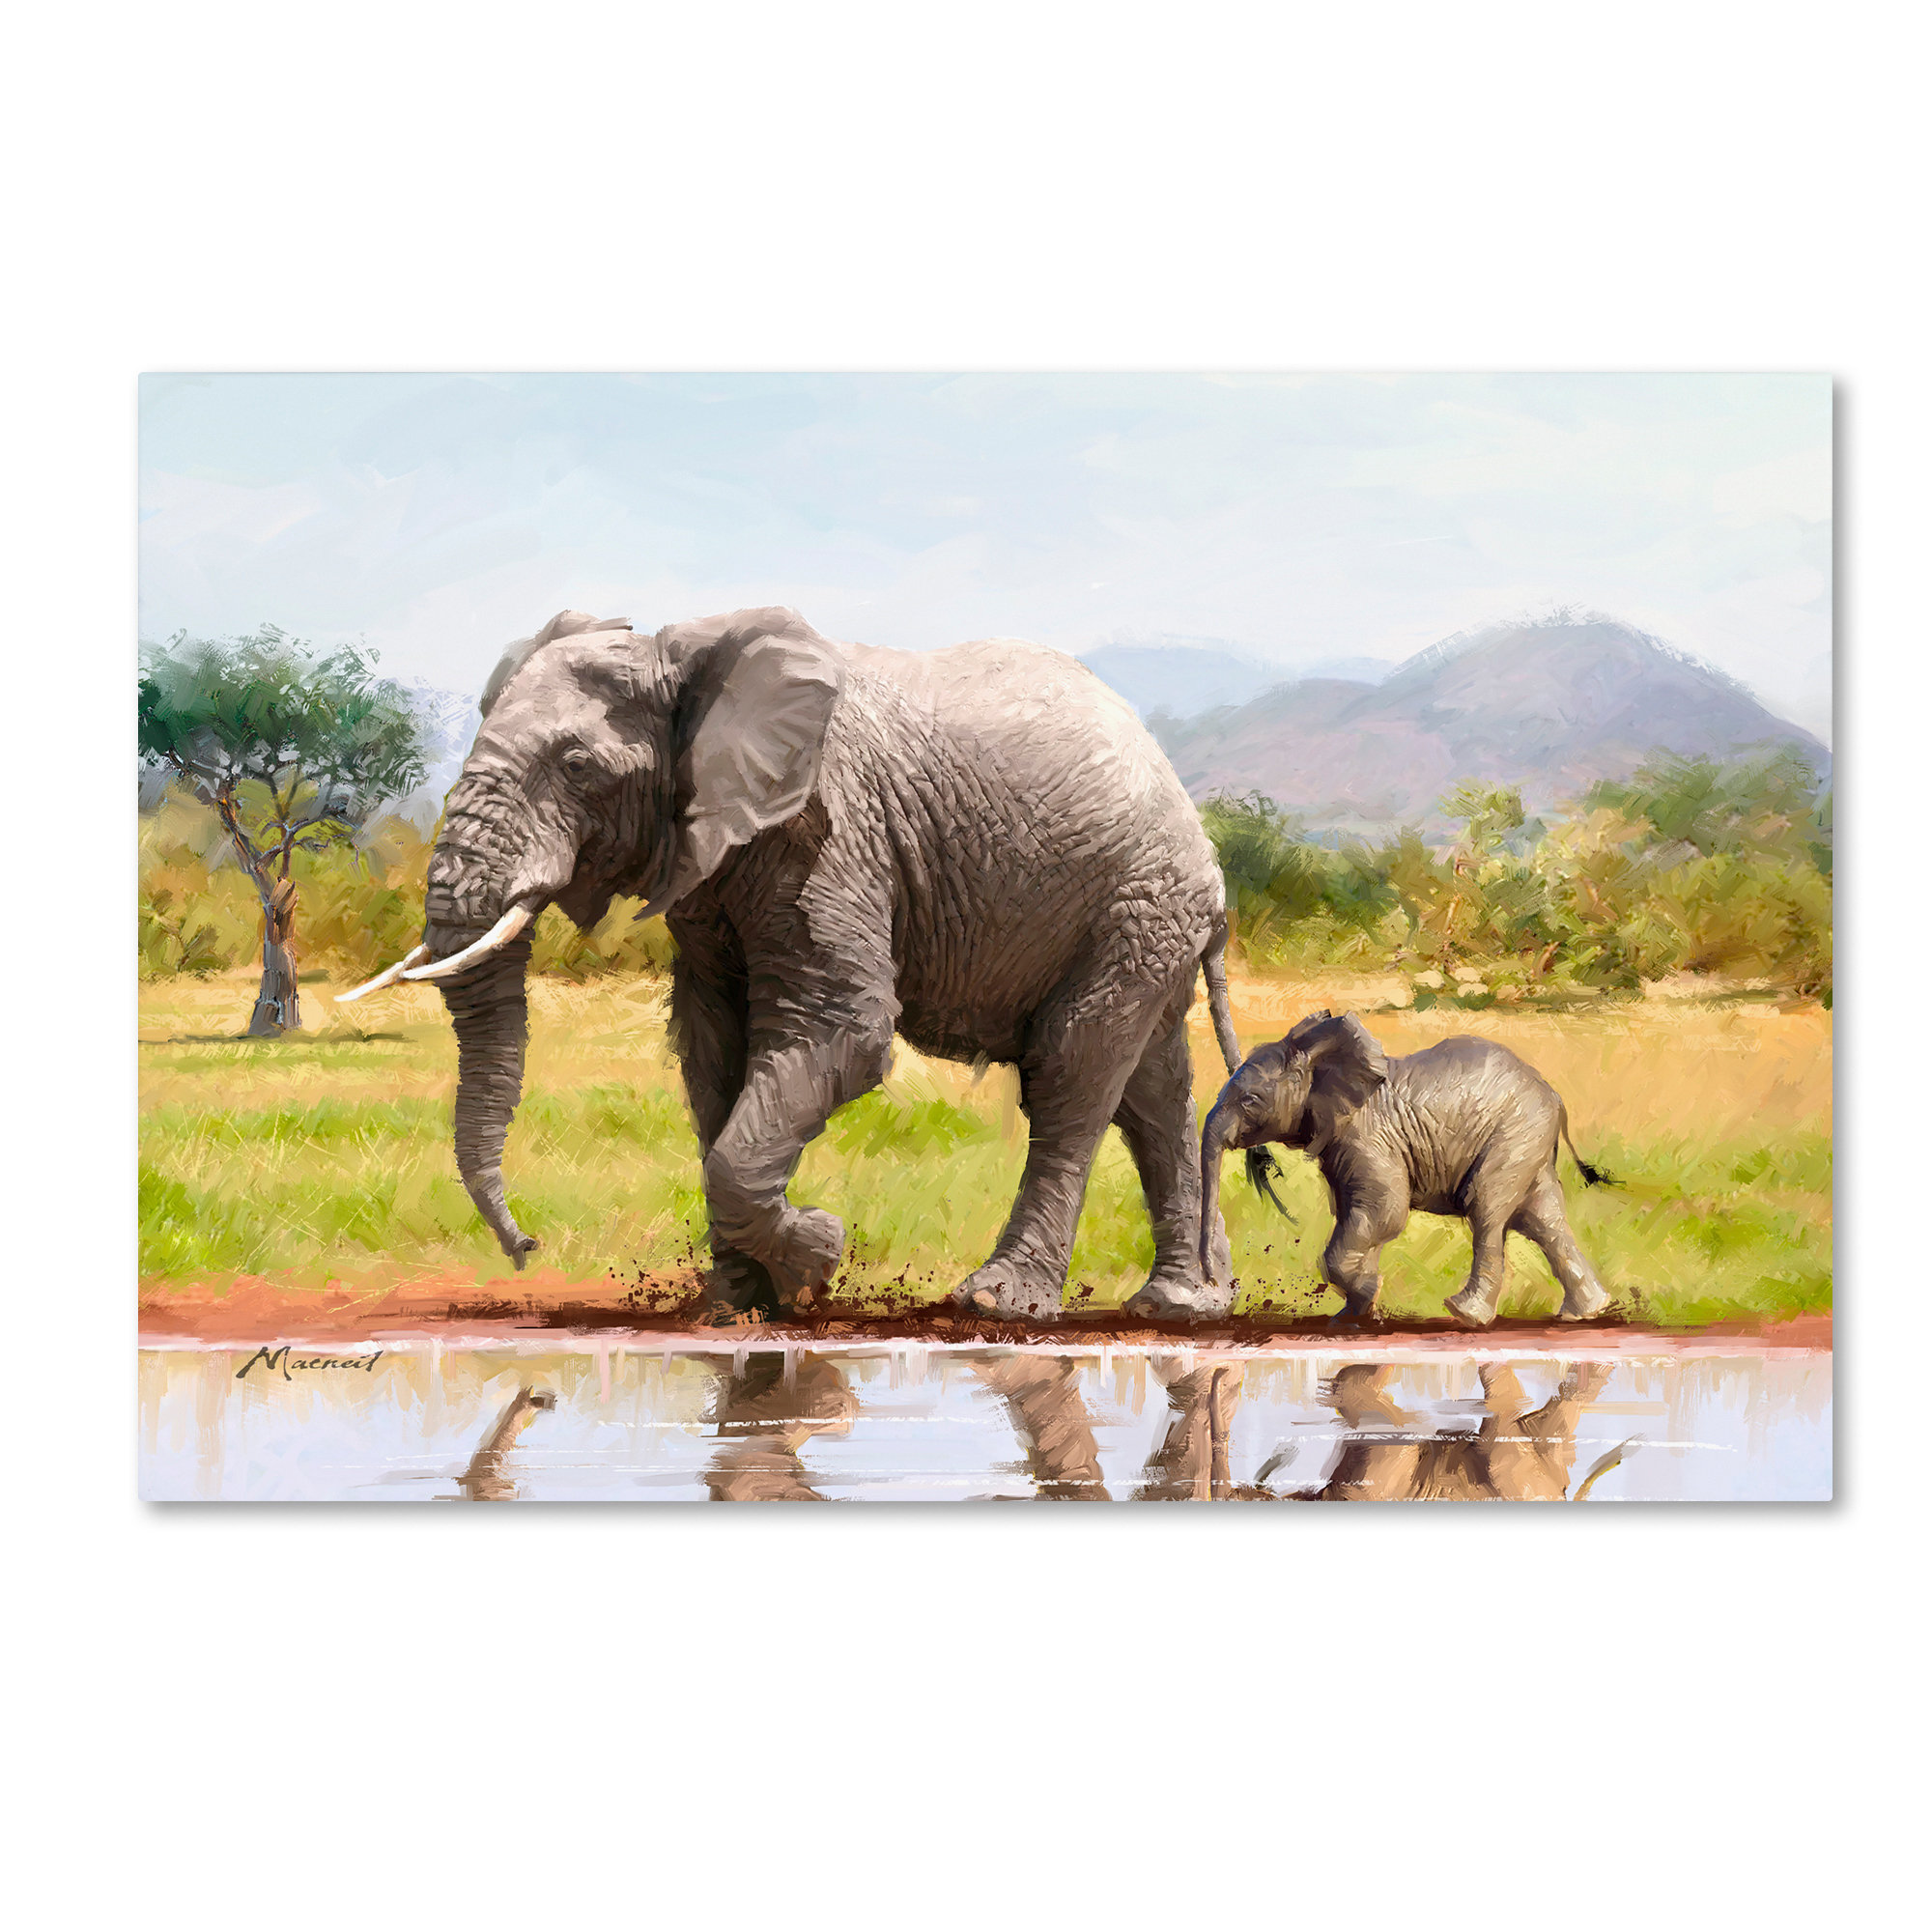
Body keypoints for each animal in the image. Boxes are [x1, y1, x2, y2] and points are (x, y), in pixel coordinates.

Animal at [341, 605, 1245, 1323]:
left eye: (577, 766)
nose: (526, 1246)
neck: (683, 653)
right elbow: (715, 1048)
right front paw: (739, 1301)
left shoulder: (830, 832)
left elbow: (842, 1031)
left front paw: (817, 1253)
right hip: (1146, 918)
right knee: (1151, 1091)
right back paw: (1184, 1303)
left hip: (1137, 899)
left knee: (1073, 1072)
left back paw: (999, 1301)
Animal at [1198, 1009, 1614, 1328]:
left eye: (1250, 1100)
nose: (1213, 1280)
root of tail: (1556, 1097)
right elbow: (1357, 1214)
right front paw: (1354, 1317)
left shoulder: (1368, 1135)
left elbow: (1384, 1212)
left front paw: (1369, 1293)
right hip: (1529, 1143)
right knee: (1543, 1218)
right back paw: (1583, 1314)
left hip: (1514, 1134)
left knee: (1487, 1208)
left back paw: (1465, 1315)